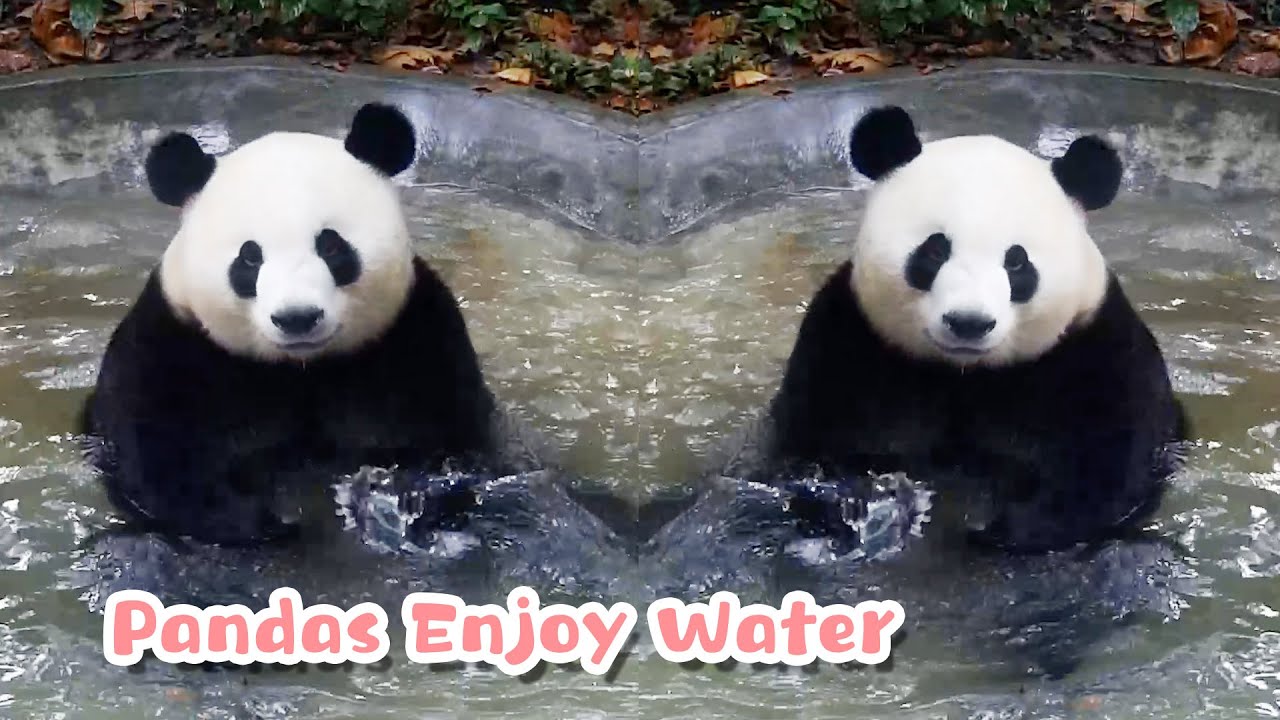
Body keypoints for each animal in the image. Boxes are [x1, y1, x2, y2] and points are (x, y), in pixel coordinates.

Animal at [81, 103, 521, 546]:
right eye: (249, 257)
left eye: (331, 245)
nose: (297, 317)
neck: (301, 370)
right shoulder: (169, 344)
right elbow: (158, 457)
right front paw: (261, 521)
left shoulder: (416, 335)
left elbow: (449, 442)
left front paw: (403, 494)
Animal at [762, 105, 1188, 553]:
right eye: (935, 250)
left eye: (1016, 261)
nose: (969, 322)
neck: (965, 375)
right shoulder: (850, 340)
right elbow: (818, 449)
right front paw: (866, 501)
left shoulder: (1097, 351)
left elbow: (1107, 464)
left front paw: (1004, 530)